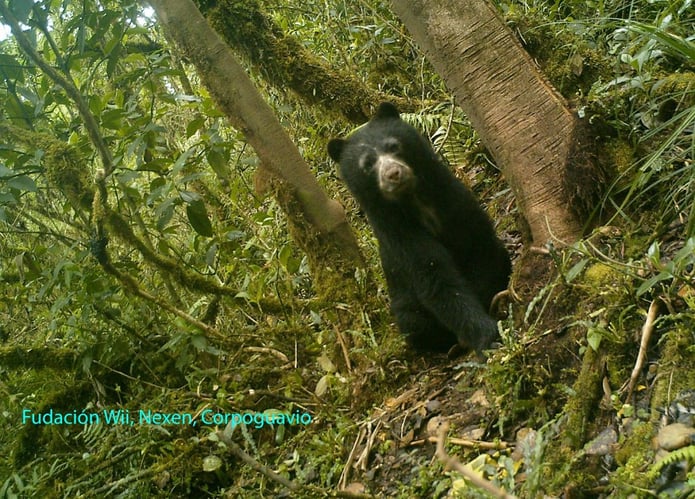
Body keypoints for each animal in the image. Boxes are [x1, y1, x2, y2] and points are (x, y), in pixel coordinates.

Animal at [327, 102, 511, 353]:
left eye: (394, 146)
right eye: (367, 163)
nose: (393, 174)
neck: (414, 198)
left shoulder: (452, 200)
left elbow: (479, 248)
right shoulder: (396, 230)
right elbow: (433, 275)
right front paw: (486, 336)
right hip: (404, 306)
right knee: (413, 321)